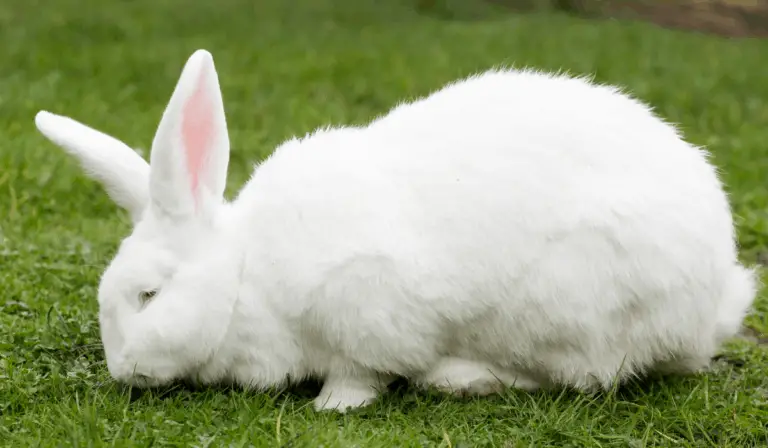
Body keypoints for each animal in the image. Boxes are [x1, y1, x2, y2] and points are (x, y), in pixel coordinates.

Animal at [34, 49, 757, 412]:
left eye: (149, 296)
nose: (124, 371)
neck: (244, 275)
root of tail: (710, 305)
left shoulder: (369, 306)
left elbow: (363, 371)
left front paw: (335, 405)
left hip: (574, 306)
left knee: (588, 377)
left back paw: (463, 377)